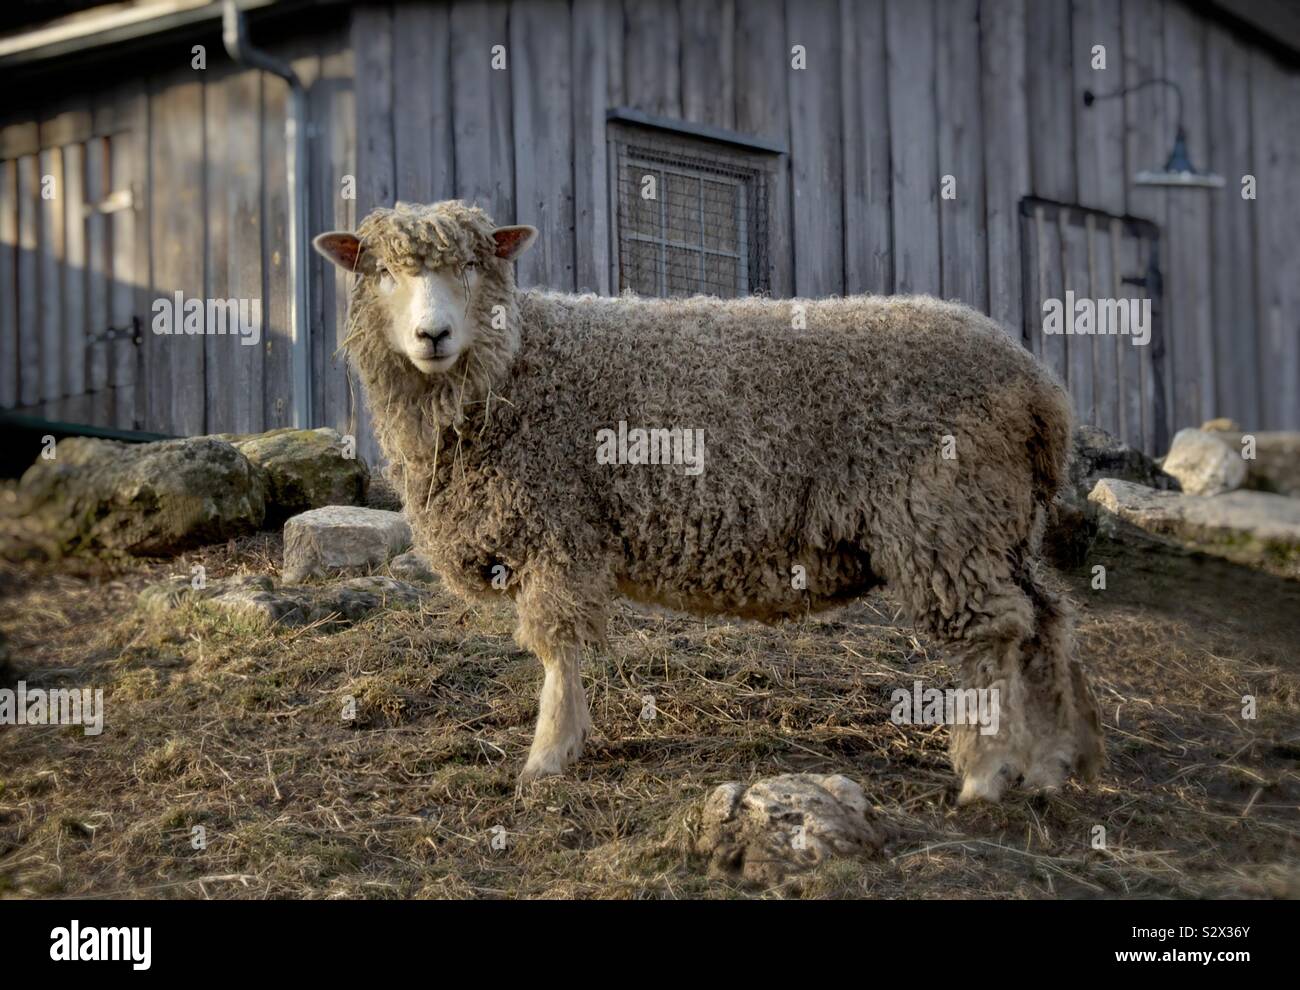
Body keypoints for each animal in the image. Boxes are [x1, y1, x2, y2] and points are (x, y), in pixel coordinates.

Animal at [313, 200, 1105, 802]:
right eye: (382, 273)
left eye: (472, 267)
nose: (433, 335)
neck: (516, 370)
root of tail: (1040, 388)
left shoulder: (560, 523)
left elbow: (558, 647)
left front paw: (548, 756)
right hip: (1001, 522)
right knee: (1045, 622)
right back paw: (1050, 765)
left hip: (945, 518)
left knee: (994, 635)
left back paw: (985, 775)